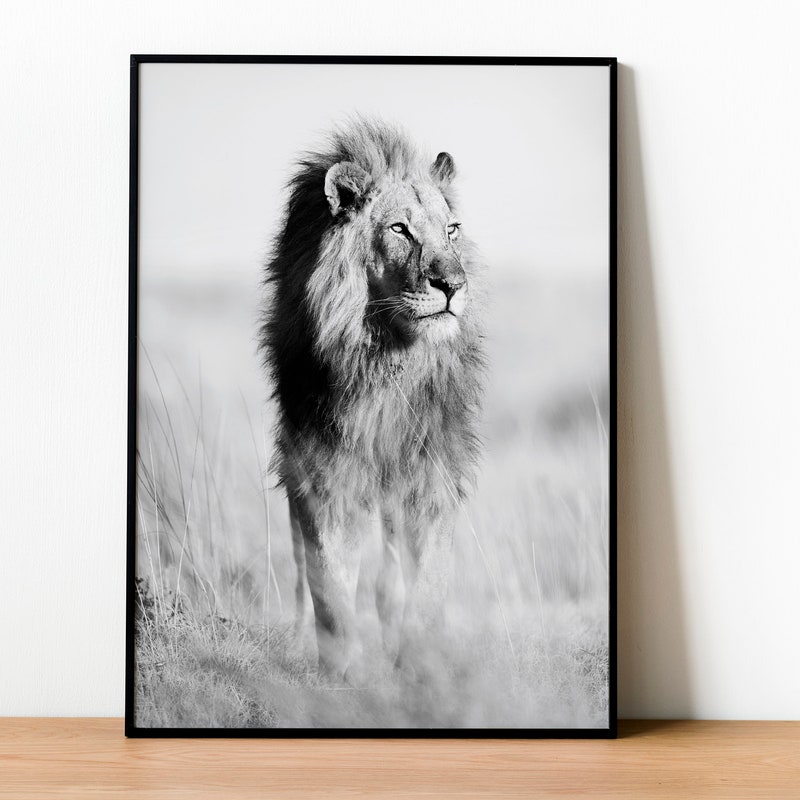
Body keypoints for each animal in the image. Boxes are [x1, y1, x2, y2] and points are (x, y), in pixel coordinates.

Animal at [261, 118, 486, 683]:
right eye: (400, 229)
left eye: (451, 229)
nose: (453, 284)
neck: (387, 359)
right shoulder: (320, 472)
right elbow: (329, 585)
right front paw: (343, 674)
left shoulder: (432, 474)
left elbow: (425, 584)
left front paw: (419, 669)